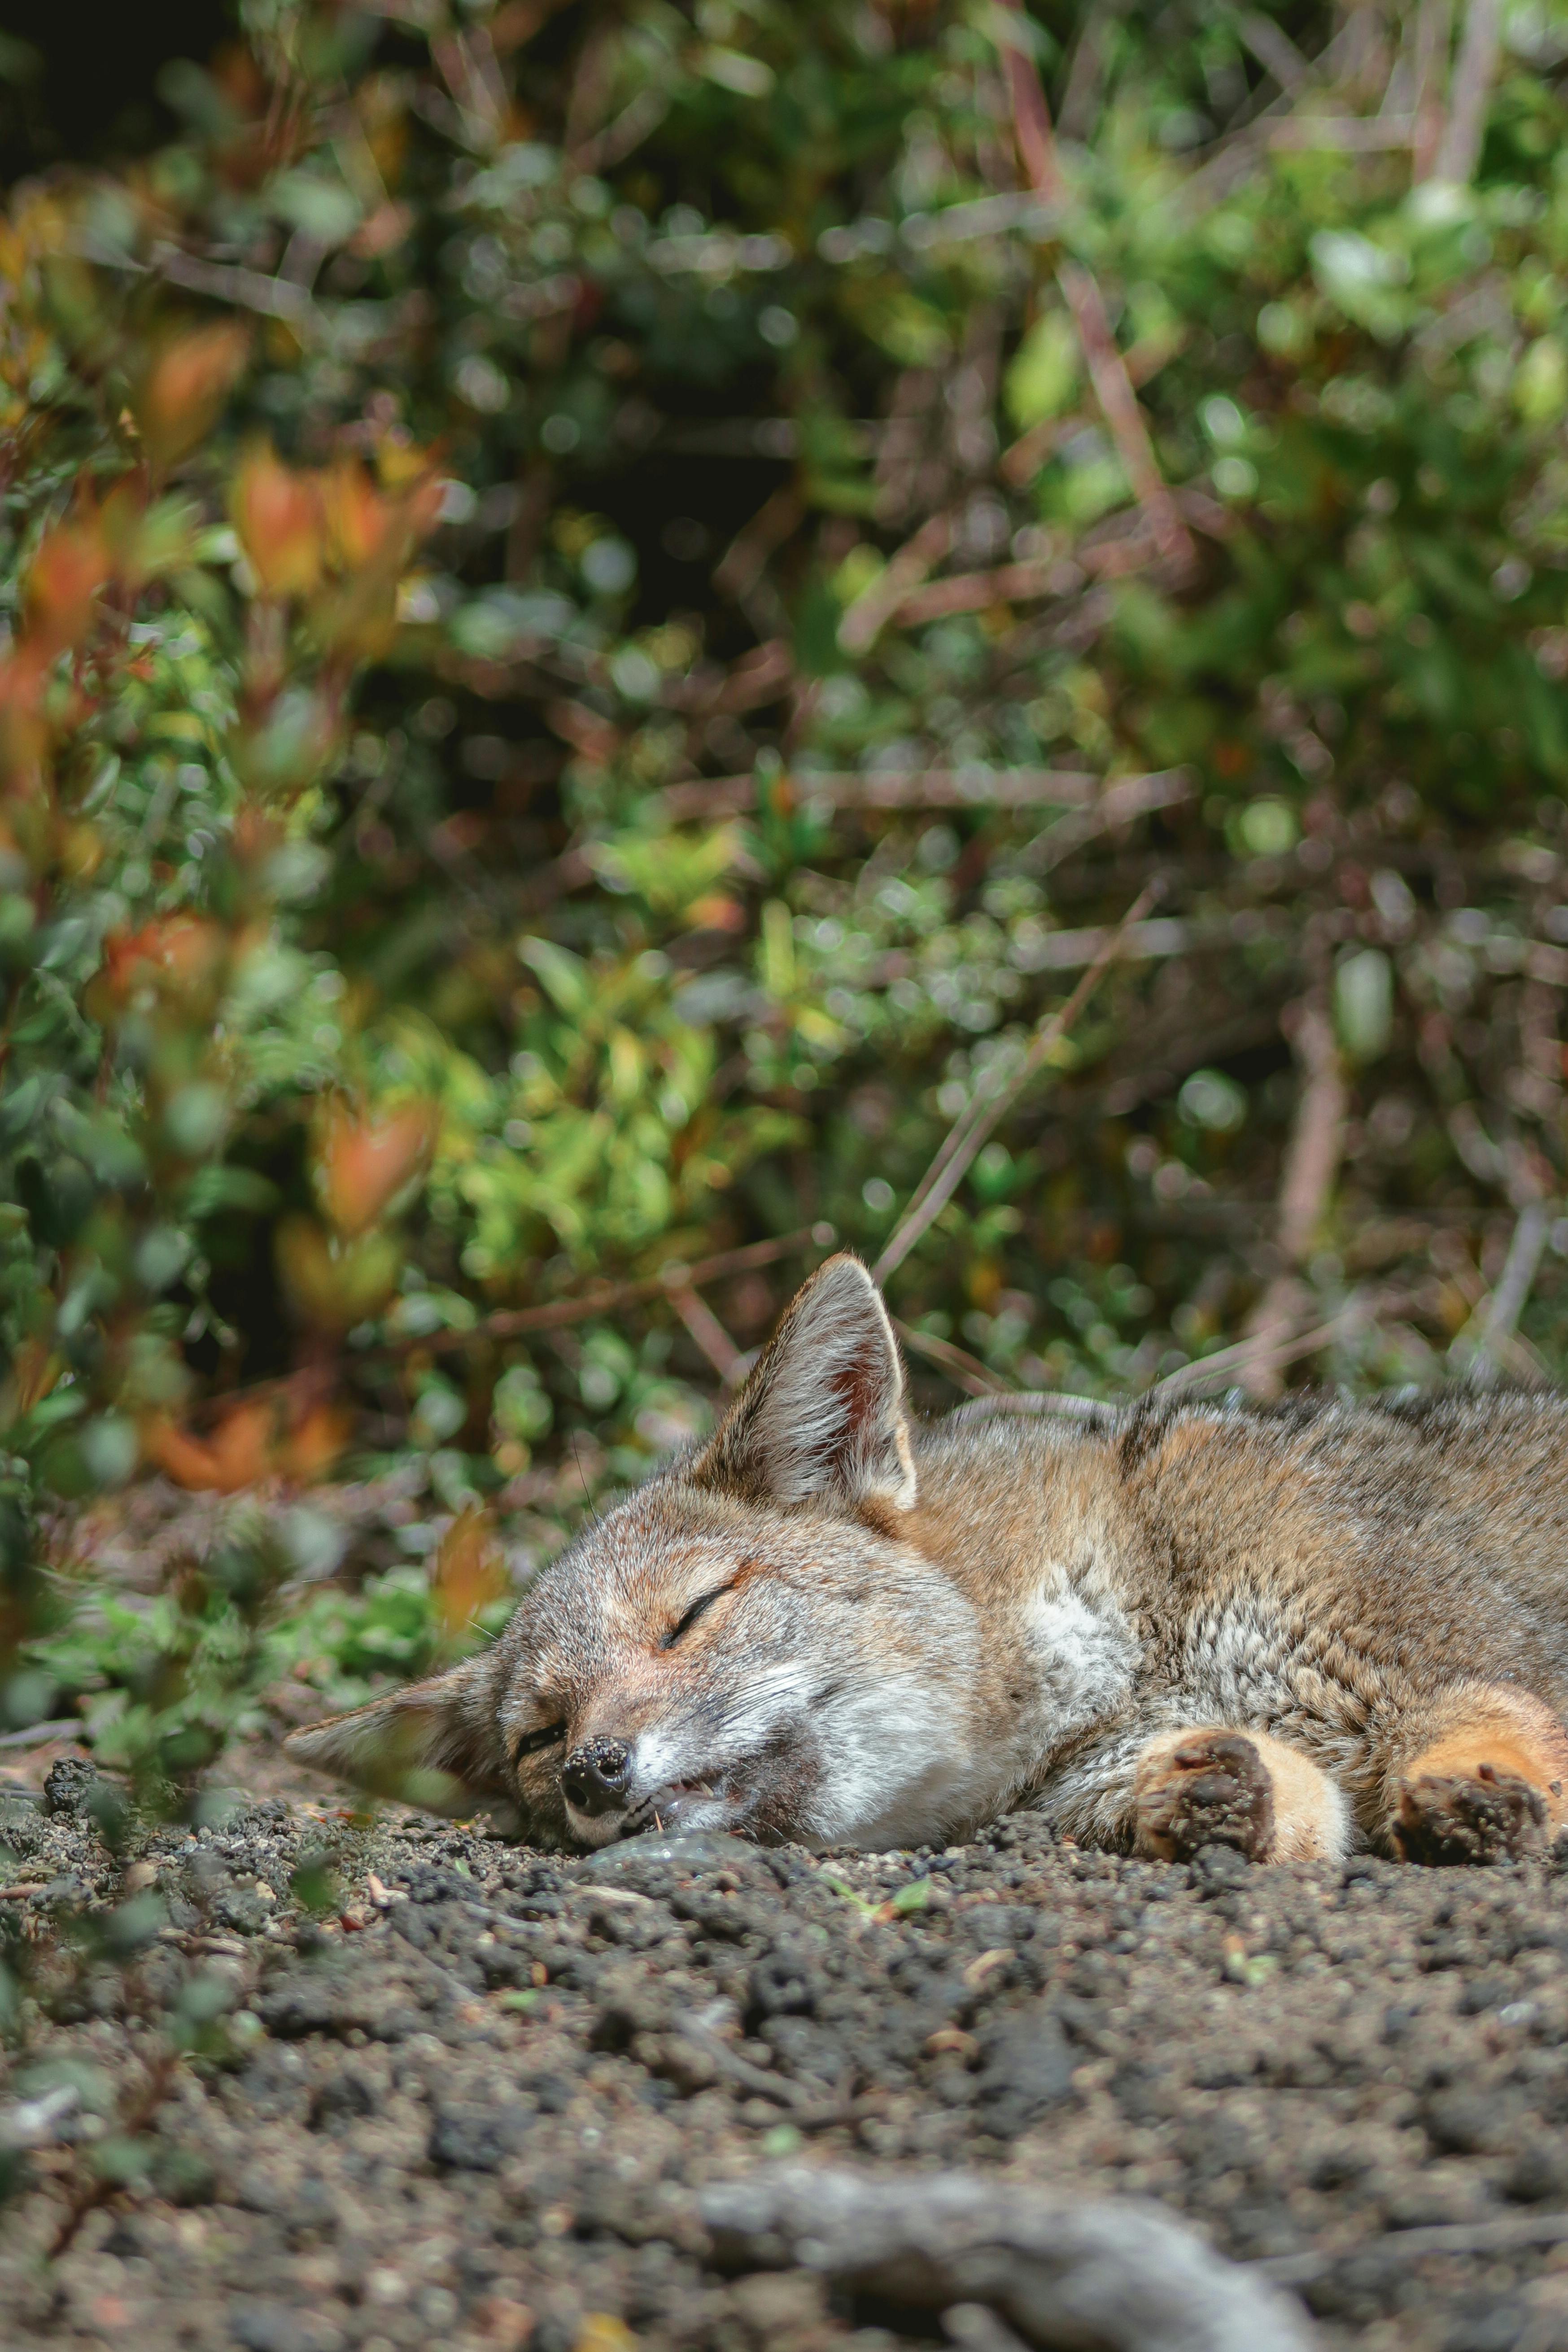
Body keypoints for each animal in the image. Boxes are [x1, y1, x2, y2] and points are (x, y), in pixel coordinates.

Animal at [288, 1253, 1568, 1869]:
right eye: (537, 1741)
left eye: (692, 1613)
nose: (595, 1772)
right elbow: (1288, 1807)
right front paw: (1215, 1798)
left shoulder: (1411, 1629)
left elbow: (1486, 1701)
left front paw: (1478, 1784)